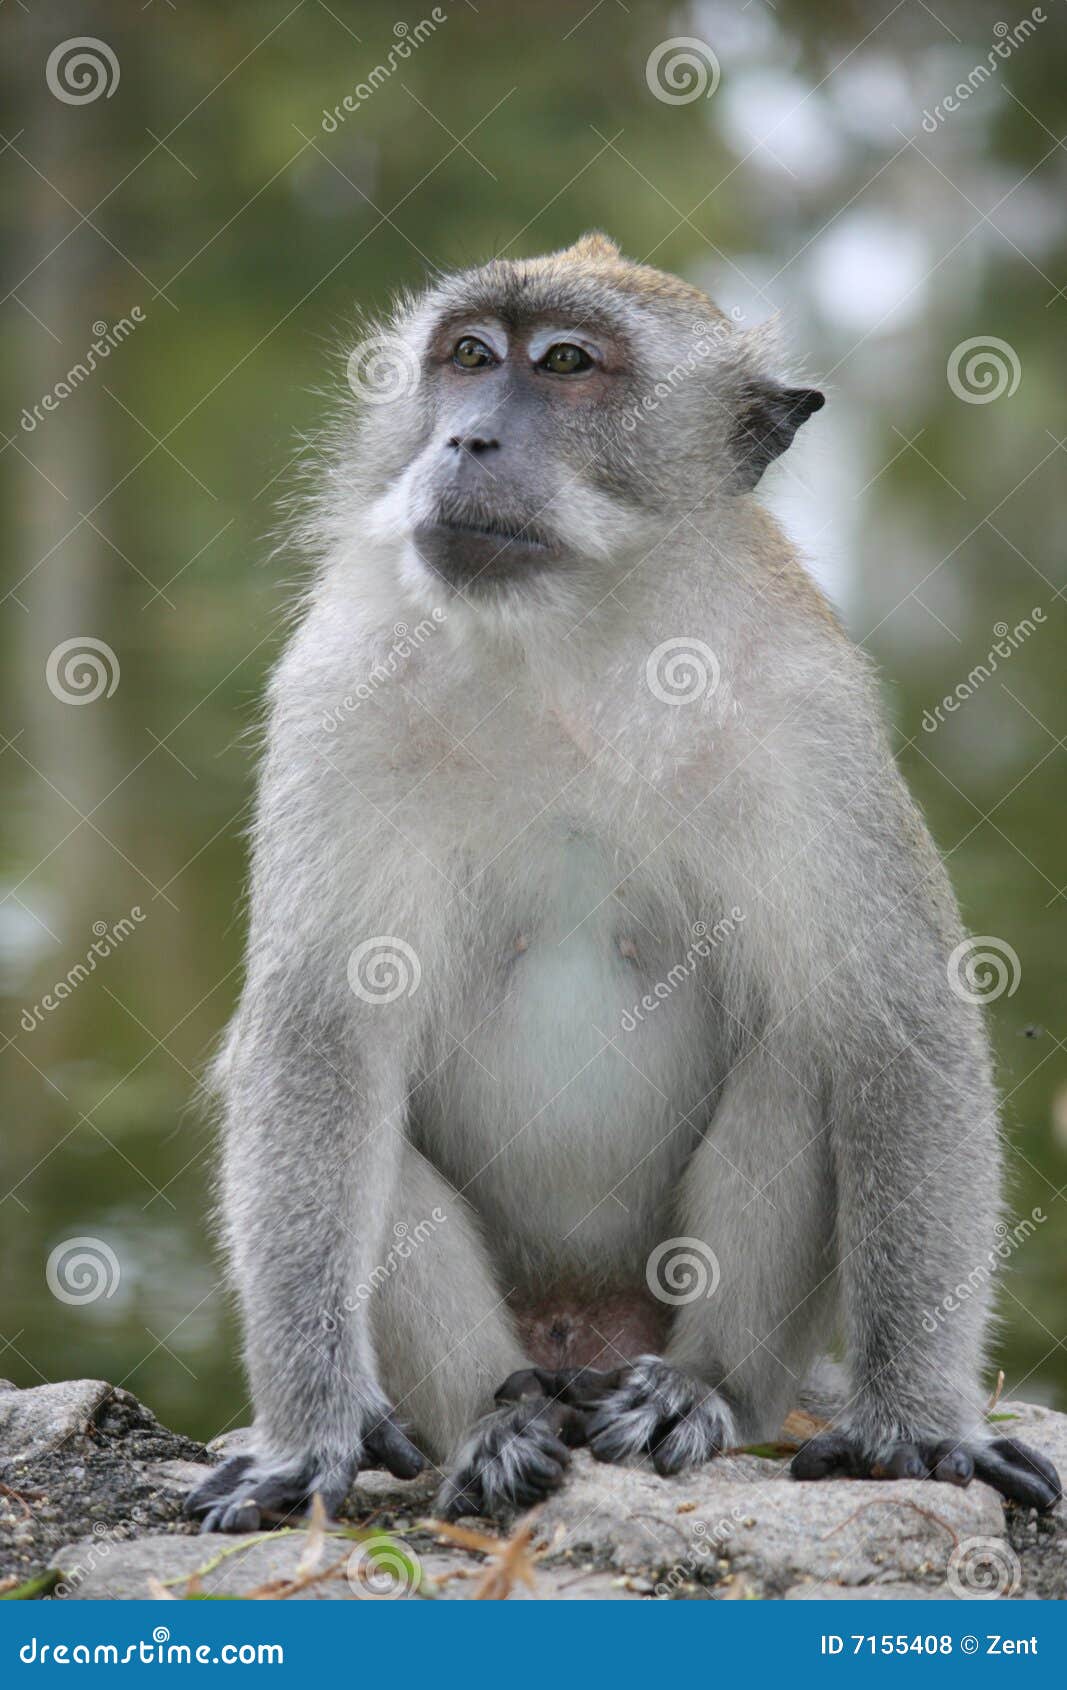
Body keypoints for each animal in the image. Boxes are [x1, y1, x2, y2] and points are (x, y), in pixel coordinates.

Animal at [186, 233, 1061, 1533]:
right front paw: (313, 1434)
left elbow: (893, 1022)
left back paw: (691, 1394)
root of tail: (581, 1328)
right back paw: (493, 1427)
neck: (571, 642)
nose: (466, 441)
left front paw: (914, 1426)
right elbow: (319, 1031)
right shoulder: (337, 686)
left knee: (805, 1053)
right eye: (467, 357)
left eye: (562, 364)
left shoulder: (806, 704)